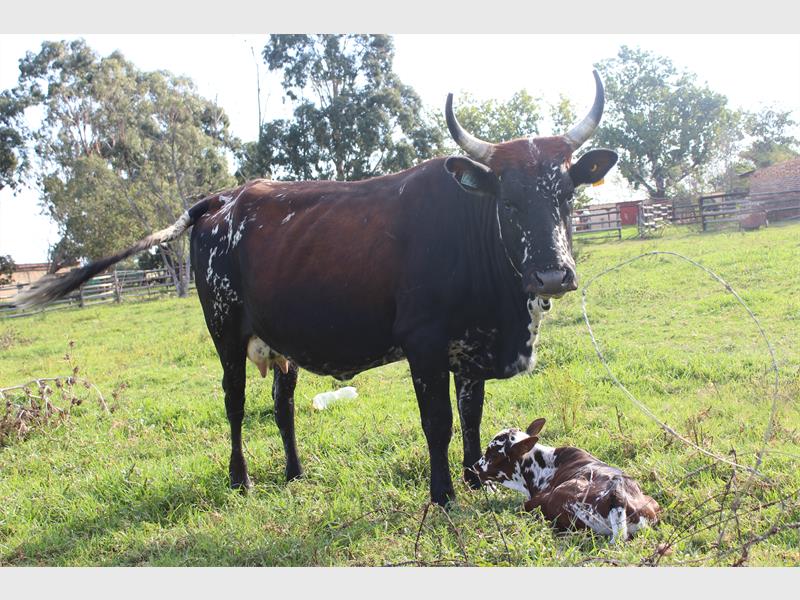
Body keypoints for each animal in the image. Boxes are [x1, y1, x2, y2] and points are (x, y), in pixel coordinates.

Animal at [15, 71, 618, 506]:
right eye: (508, 201)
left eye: (566, 194)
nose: (552, 275)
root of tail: (224, 197)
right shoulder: (423, 343)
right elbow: (439, 423)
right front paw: (444, 495)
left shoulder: (469, 350)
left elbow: (470, 418)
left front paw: (474, 480)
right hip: (225, 332)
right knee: (234, 403)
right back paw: (241, 479)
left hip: (281, 341)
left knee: (282, 407)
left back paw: (295, 471)